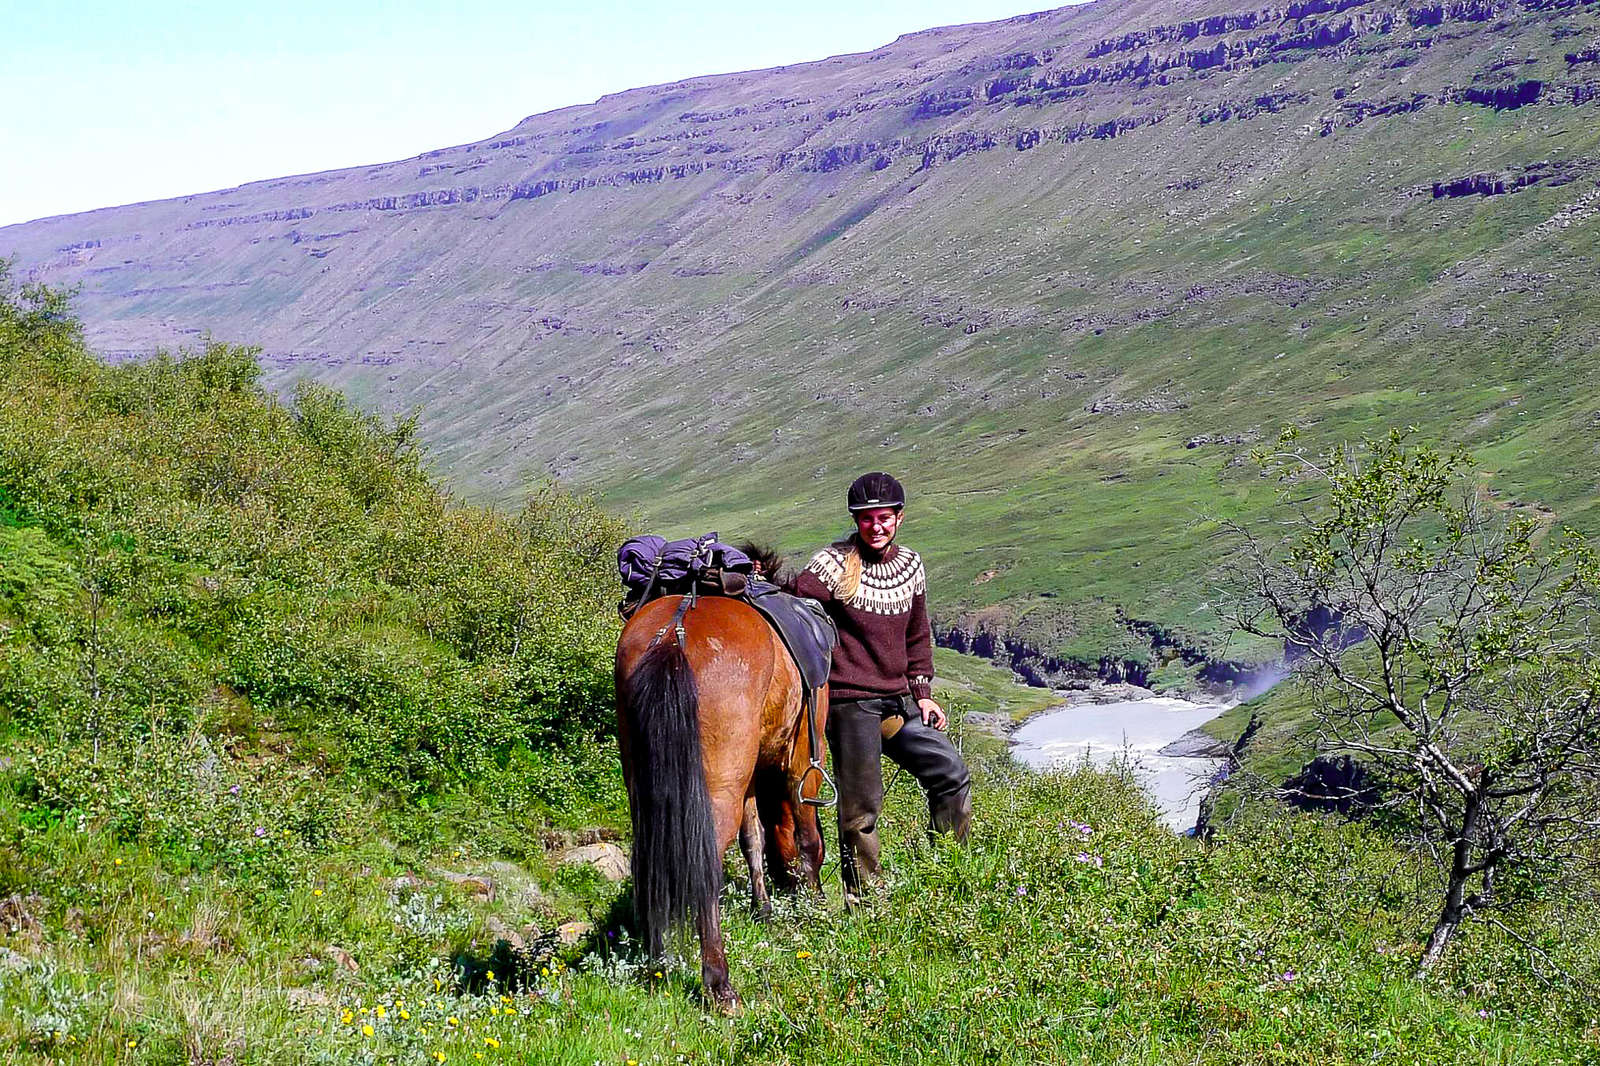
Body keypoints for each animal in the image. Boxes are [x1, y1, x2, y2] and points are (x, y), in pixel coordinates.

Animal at [614, 581, 828, 1009]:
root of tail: (673, 635)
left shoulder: (748, 780)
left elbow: (754, 840)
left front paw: (763, 908)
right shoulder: (800, 761)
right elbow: (806, 838)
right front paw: (817, 908)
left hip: (647, 785)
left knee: (650, 857)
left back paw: (657, 962)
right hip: (722, 788)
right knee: (705, 863)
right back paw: (718, 981)